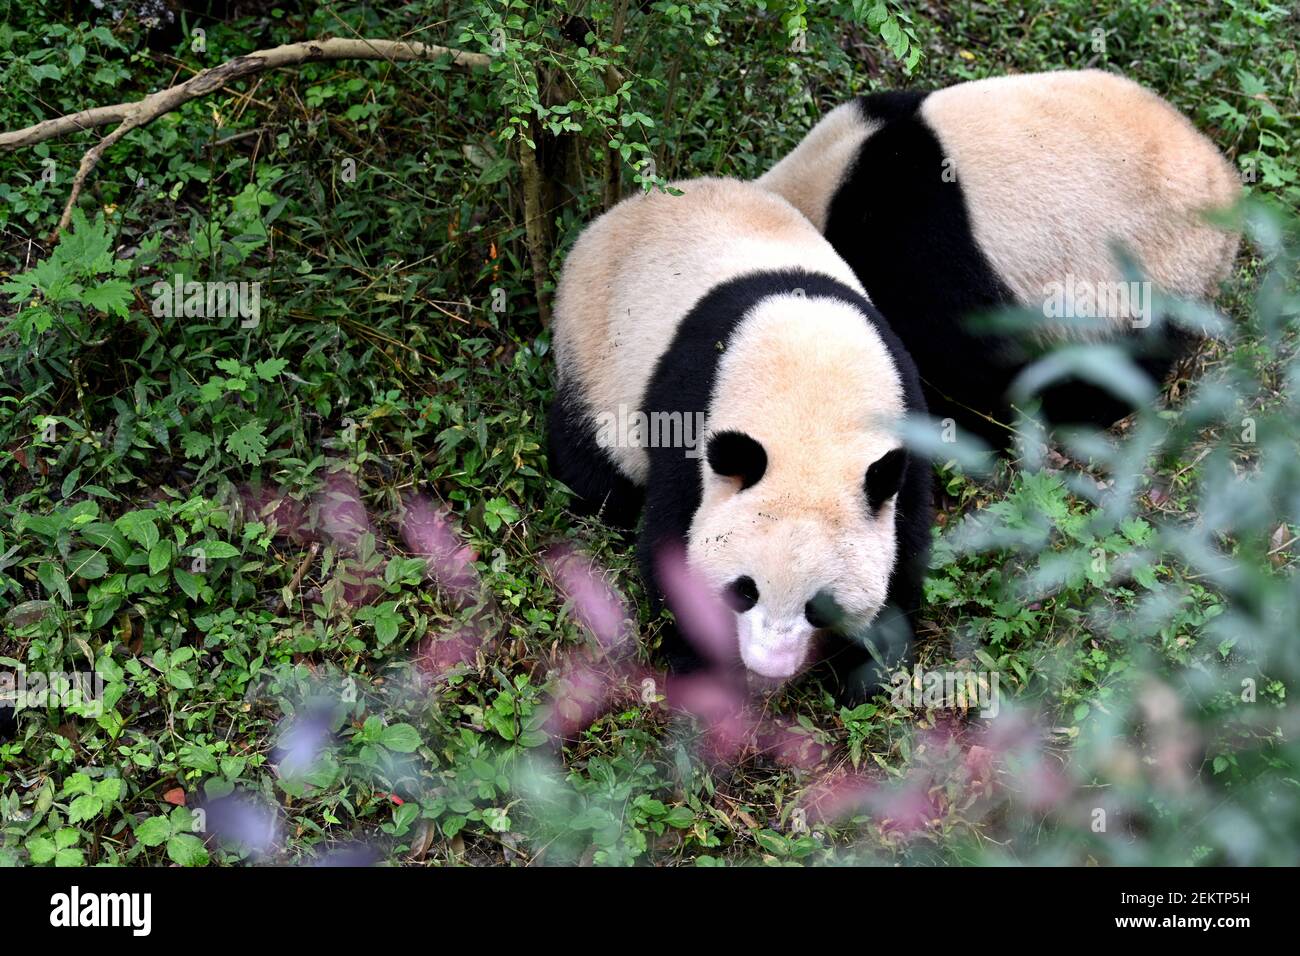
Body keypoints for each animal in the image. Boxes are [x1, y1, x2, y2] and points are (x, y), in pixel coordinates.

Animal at [547, 177, 932, 700]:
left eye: (820, 607)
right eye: (744, 590)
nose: (770, 666)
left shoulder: (904, 425)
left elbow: (903, 554)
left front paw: (864, 673)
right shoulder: (690, 411)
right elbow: (672, 539)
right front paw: (702, 668)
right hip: (597, 347)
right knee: (591, 462)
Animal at [758, 69, 1242, 449]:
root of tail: (1229, 194)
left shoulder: (913, 242)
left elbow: (973, 358)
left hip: (1154, 270)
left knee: (1129, 357)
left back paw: (1076, 413)